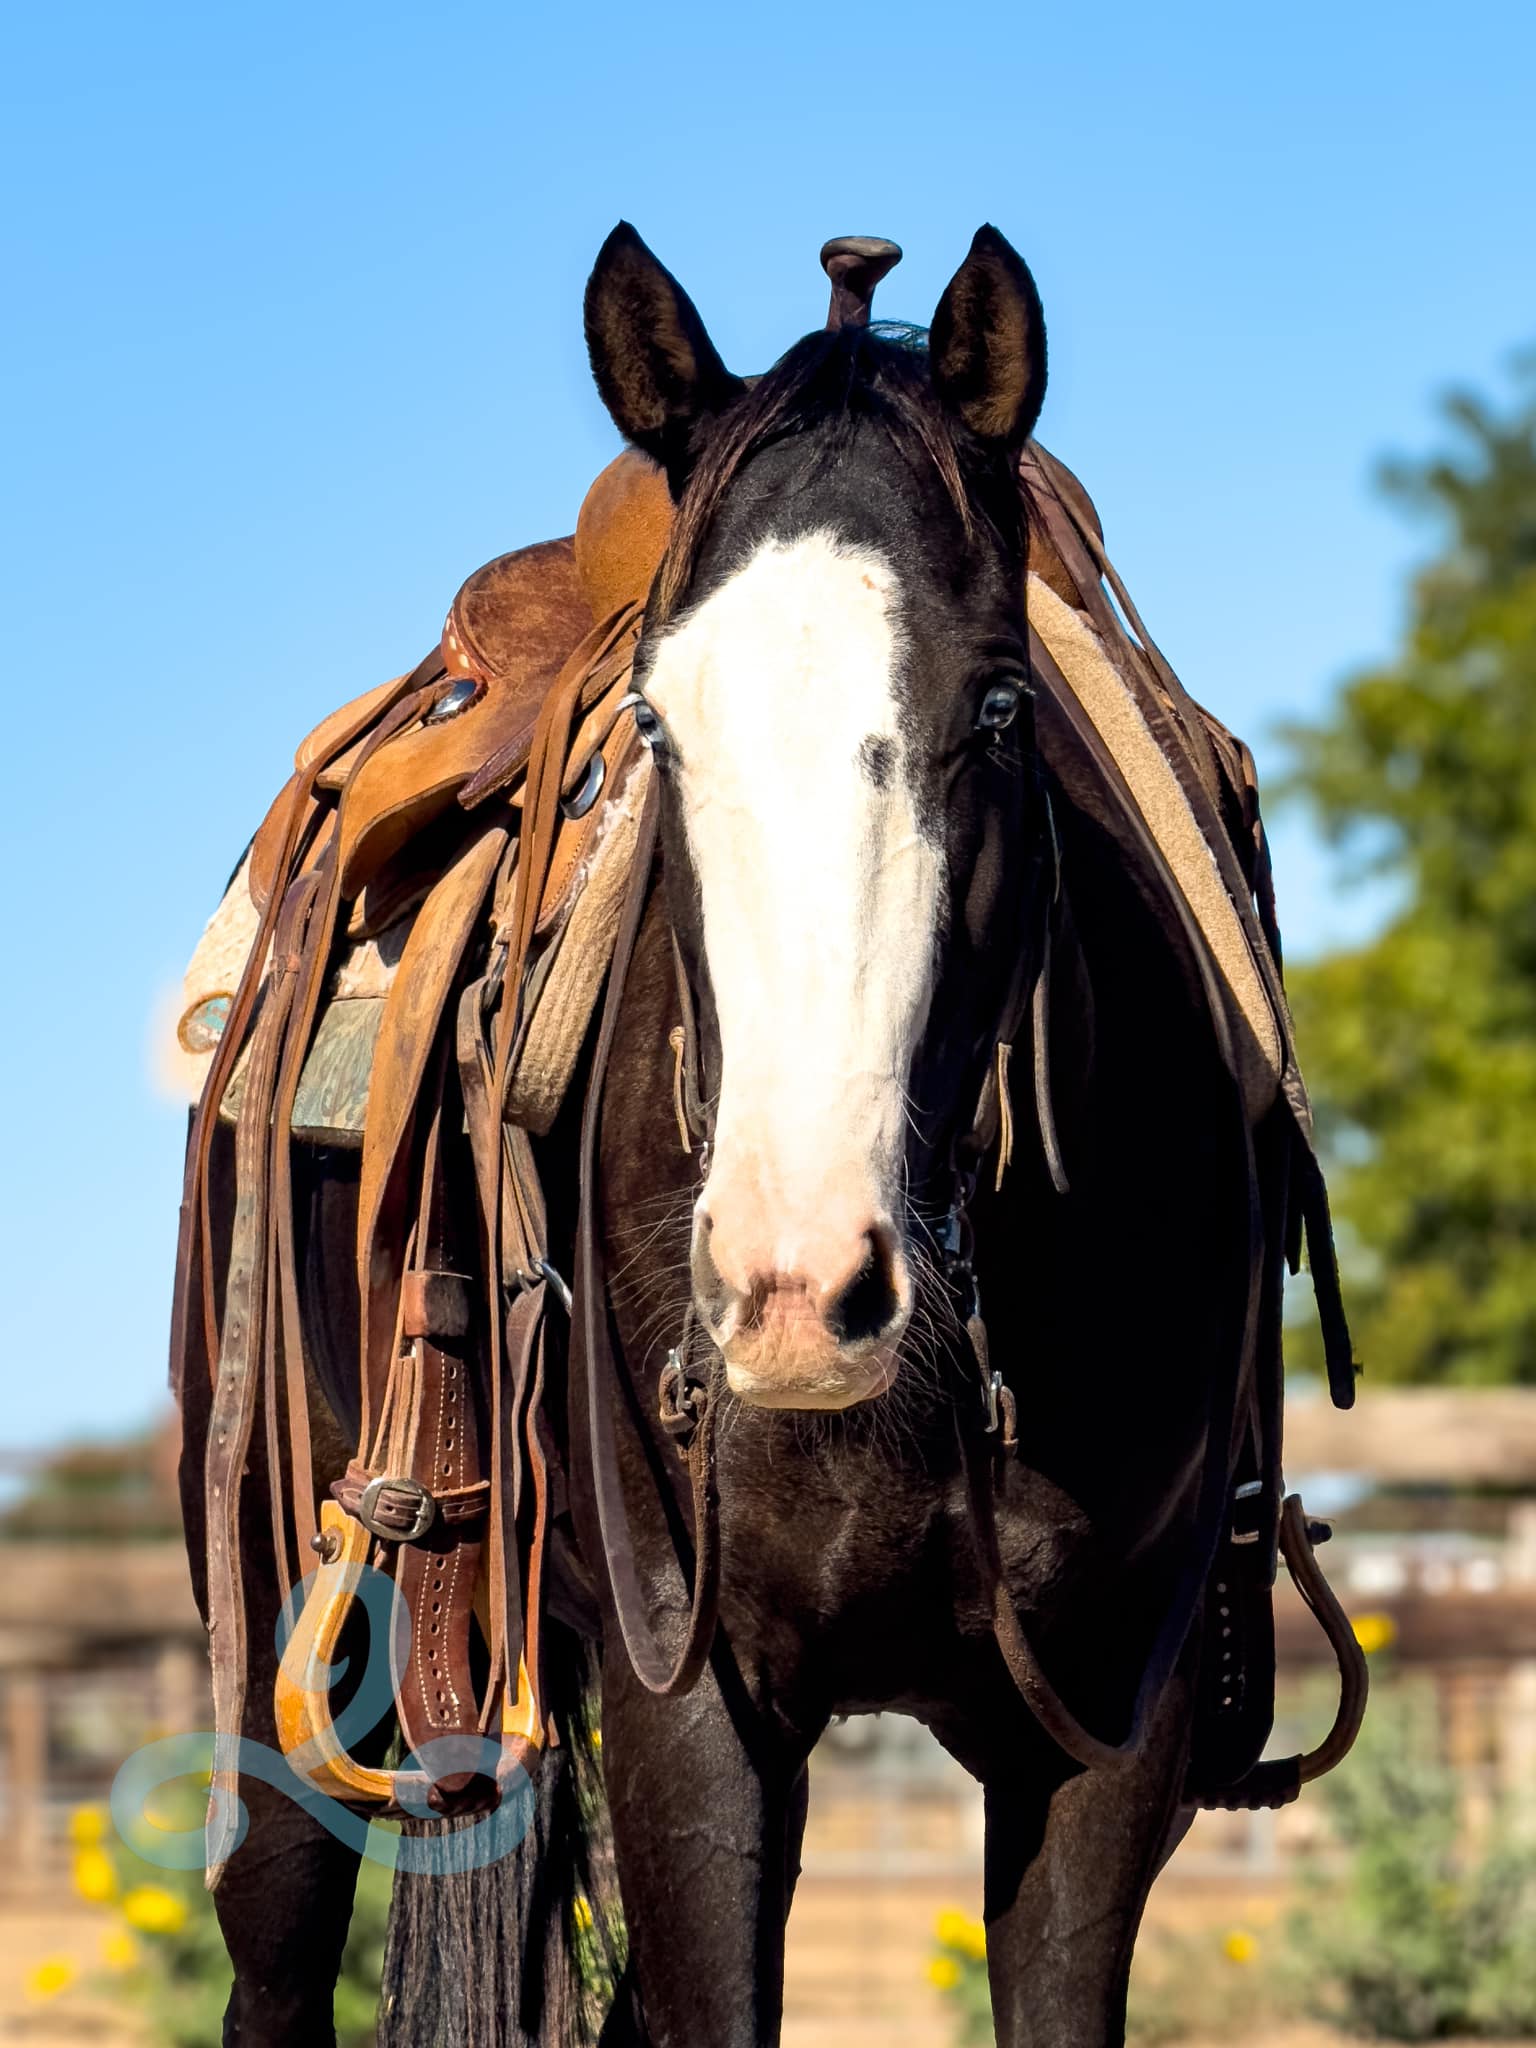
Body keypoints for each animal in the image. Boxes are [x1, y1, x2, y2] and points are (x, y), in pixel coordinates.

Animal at [174, 221, 1355, 2047]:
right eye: (658, 725)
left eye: (999, 706)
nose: (798, 1284)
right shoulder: (697, 1710)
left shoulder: (1108, 1733)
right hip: (297, 1638)